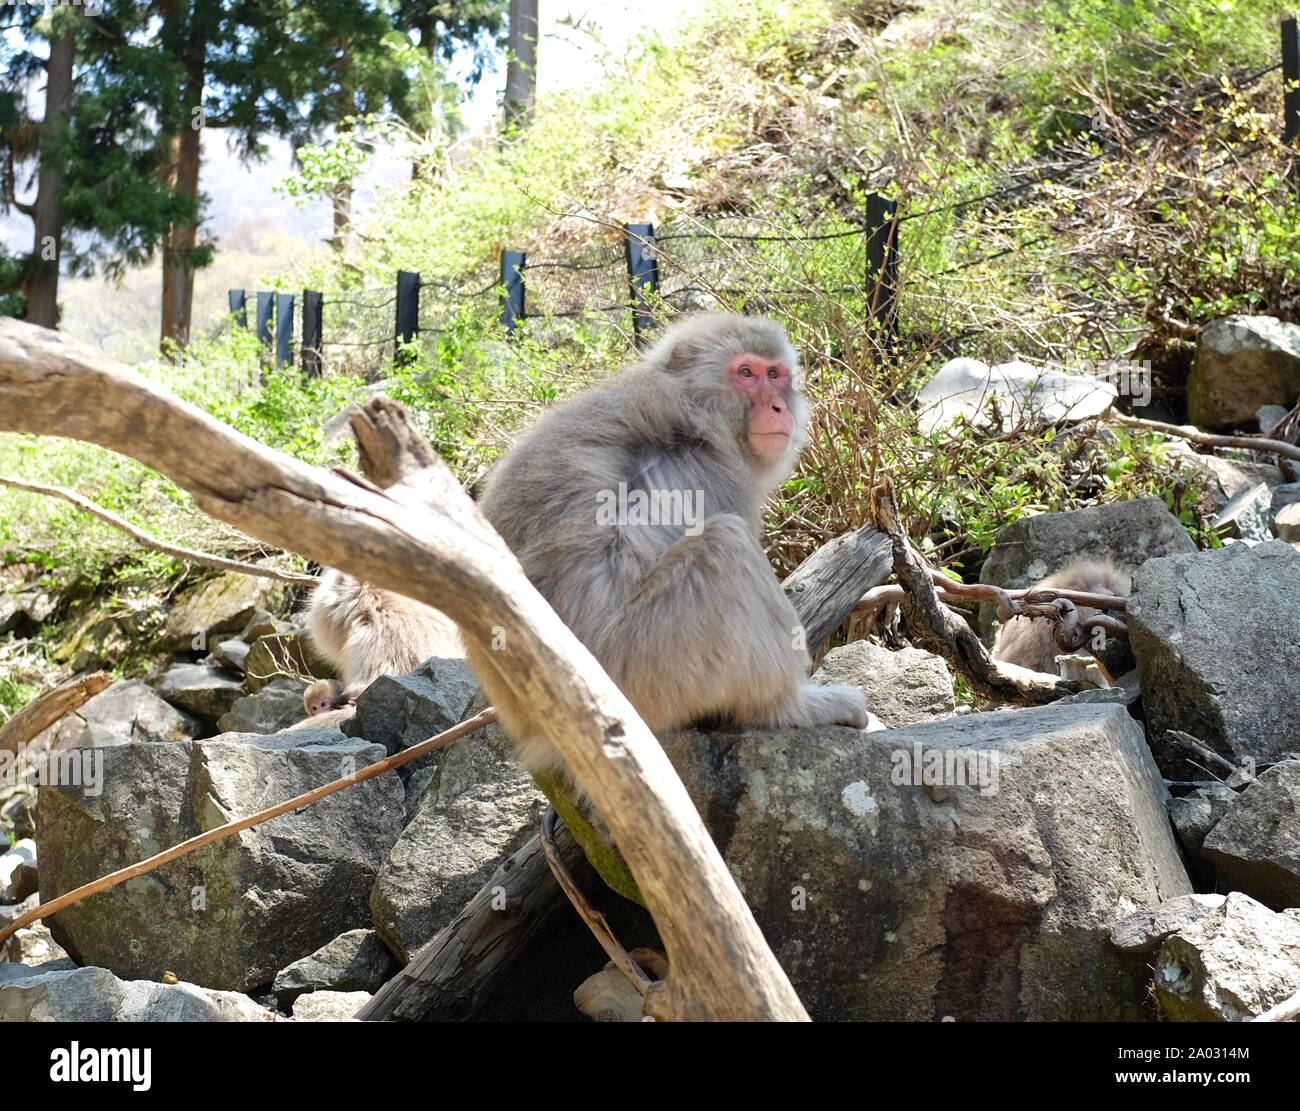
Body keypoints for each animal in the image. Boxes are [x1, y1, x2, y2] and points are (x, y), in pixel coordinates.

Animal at [465, 312, 869, 790]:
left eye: (775, 374)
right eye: (746, 372)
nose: (779, 407)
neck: (697, 404)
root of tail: (540, 735)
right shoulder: (717, 473)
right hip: (645, 671)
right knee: (725, 547)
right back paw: (787, 706)